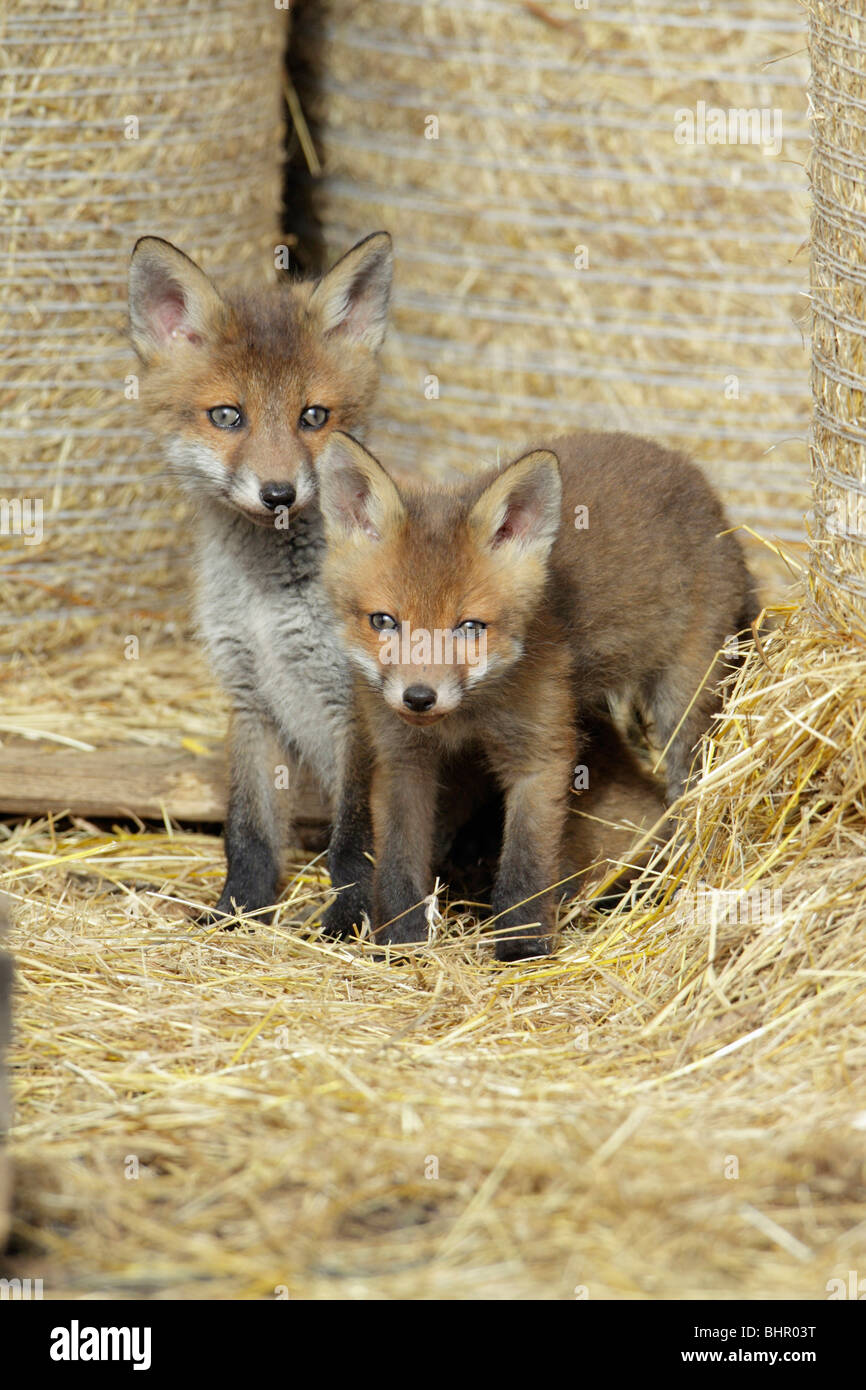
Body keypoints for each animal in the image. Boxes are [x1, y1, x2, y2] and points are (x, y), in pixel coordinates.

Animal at [315, 429, 758, 960]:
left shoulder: (540, 755)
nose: (419, 697)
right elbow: (400, 864)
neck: (469, 717)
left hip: (684, 698)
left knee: (689, 790)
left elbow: (525, 866)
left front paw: (522, 948)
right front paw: (401, 943)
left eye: (470, 627)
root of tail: (692, 476)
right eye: (383, 621)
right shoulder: (403, 759)